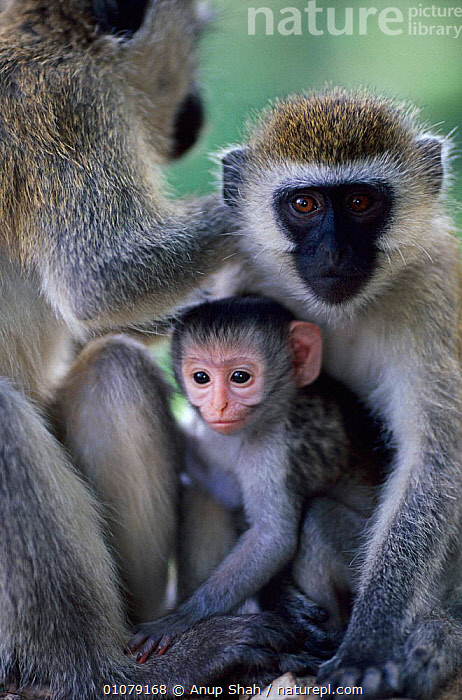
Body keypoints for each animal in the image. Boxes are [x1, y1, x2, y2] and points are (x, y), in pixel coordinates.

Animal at [128, 295, 390, 666]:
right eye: (201, 377)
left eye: (240, 377)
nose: (219, 406)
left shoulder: (270, 445)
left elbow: (273, 537)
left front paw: (180, 618)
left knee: (317, 522)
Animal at [204, 88, 462, 699]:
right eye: (305, 205)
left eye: (362, 202)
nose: (334, 252)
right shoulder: (243, 278)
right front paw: (275, 595)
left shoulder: (434, 297)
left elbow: (434, 462)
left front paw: (369, 641)